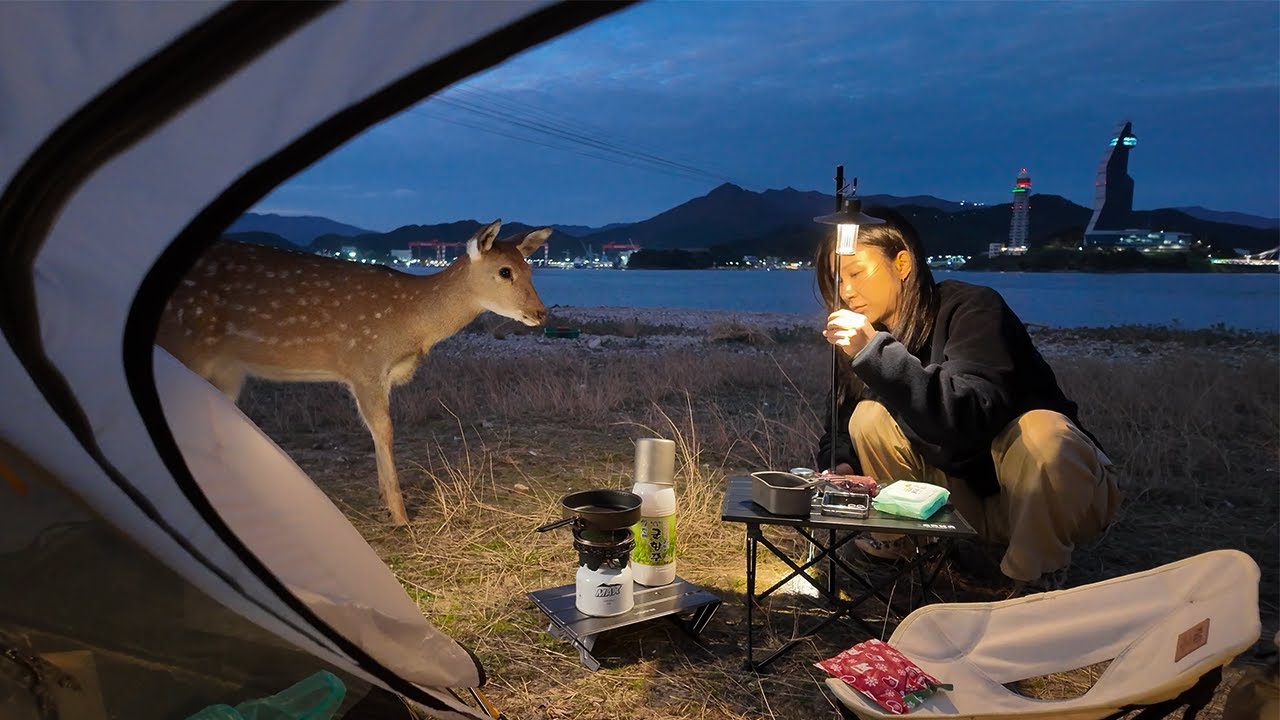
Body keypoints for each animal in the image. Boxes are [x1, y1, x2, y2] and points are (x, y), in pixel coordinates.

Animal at [156, 219, 550, 525]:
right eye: (504, 271)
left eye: (531, 268)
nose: (540, 313)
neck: (410, 325)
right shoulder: (364, 362)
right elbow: (385, 430)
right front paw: (401, 516)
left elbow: (376, 432)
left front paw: (384, 503)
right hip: (185, 343)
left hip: (225, 369)